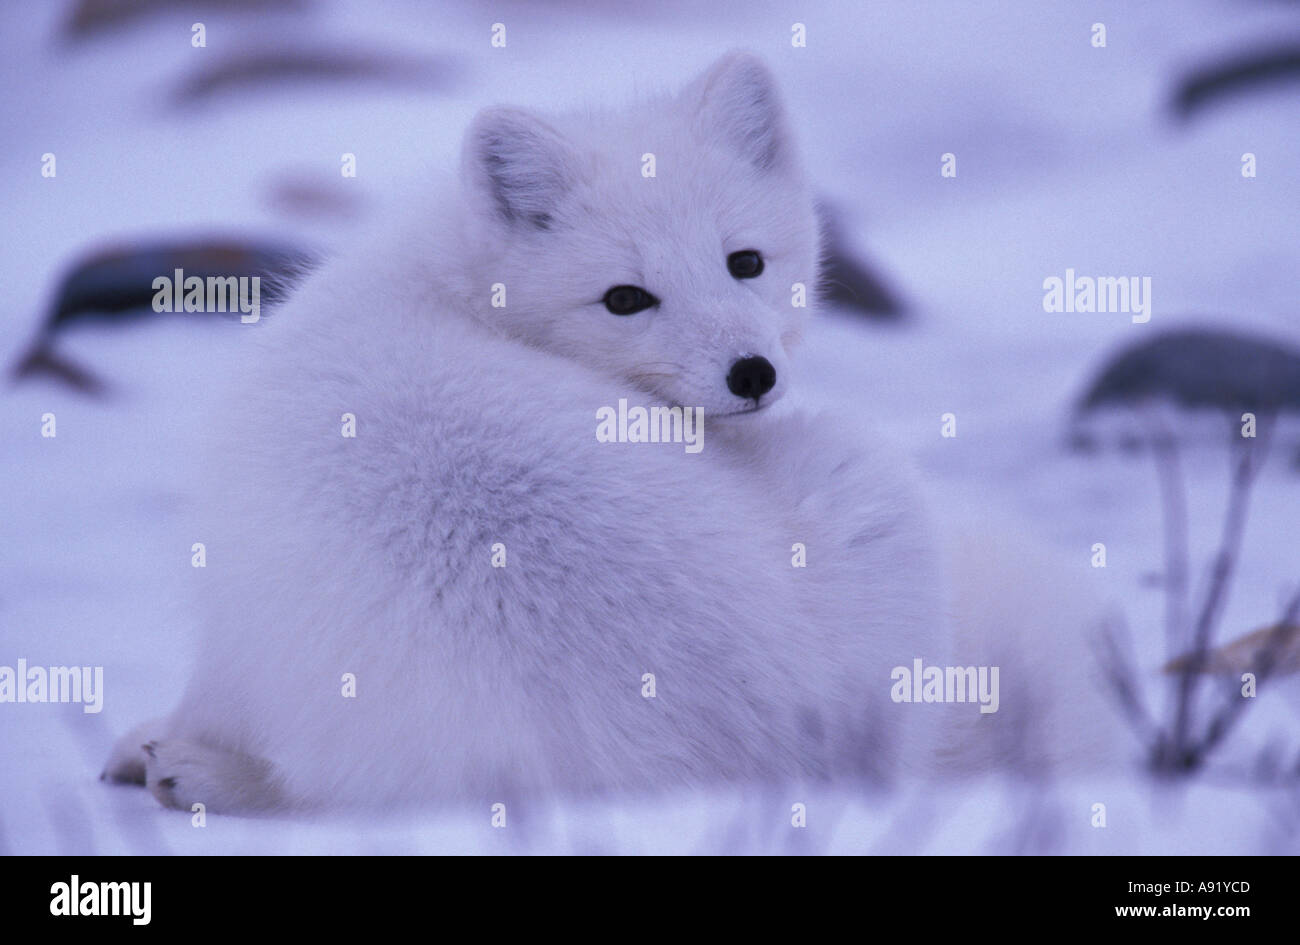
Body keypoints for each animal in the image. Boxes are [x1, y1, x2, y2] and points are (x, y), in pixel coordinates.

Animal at [103, 52, 1122, 814]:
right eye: (626, 298)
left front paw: (160, 744)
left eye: (745, 261)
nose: (754, 374)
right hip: (881, 483)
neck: (451, 284)